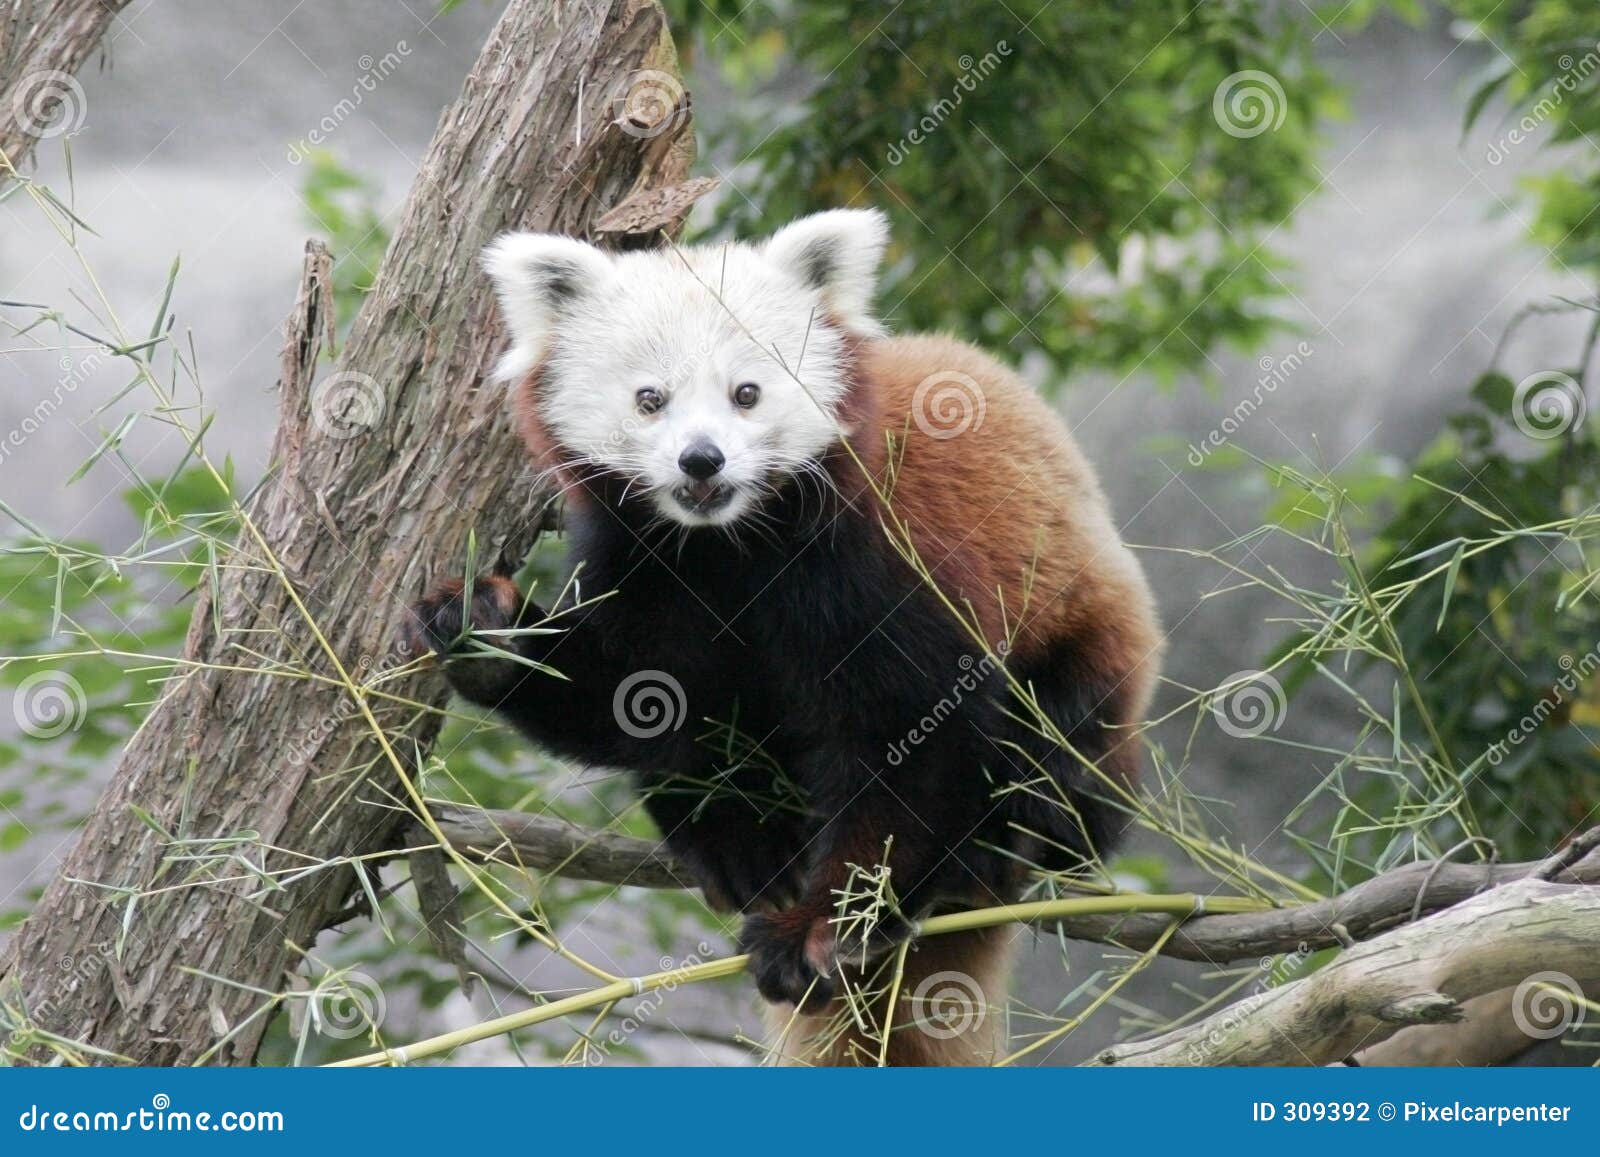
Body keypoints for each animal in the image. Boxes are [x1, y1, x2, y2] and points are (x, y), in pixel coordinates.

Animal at [409, 209, 1163, 1066]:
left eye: (747, 392)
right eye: (649, 399)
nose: (701, 460)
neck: (729, 549)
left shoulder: (875, 559)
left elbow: (911, 736)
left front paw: (825, 923)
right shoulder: (642, 564)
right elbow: (629, 692)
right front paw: (484, 628)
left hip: (1087, 628)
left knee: (1068, 741)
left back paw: (1005, 844)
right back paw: (736, 846)